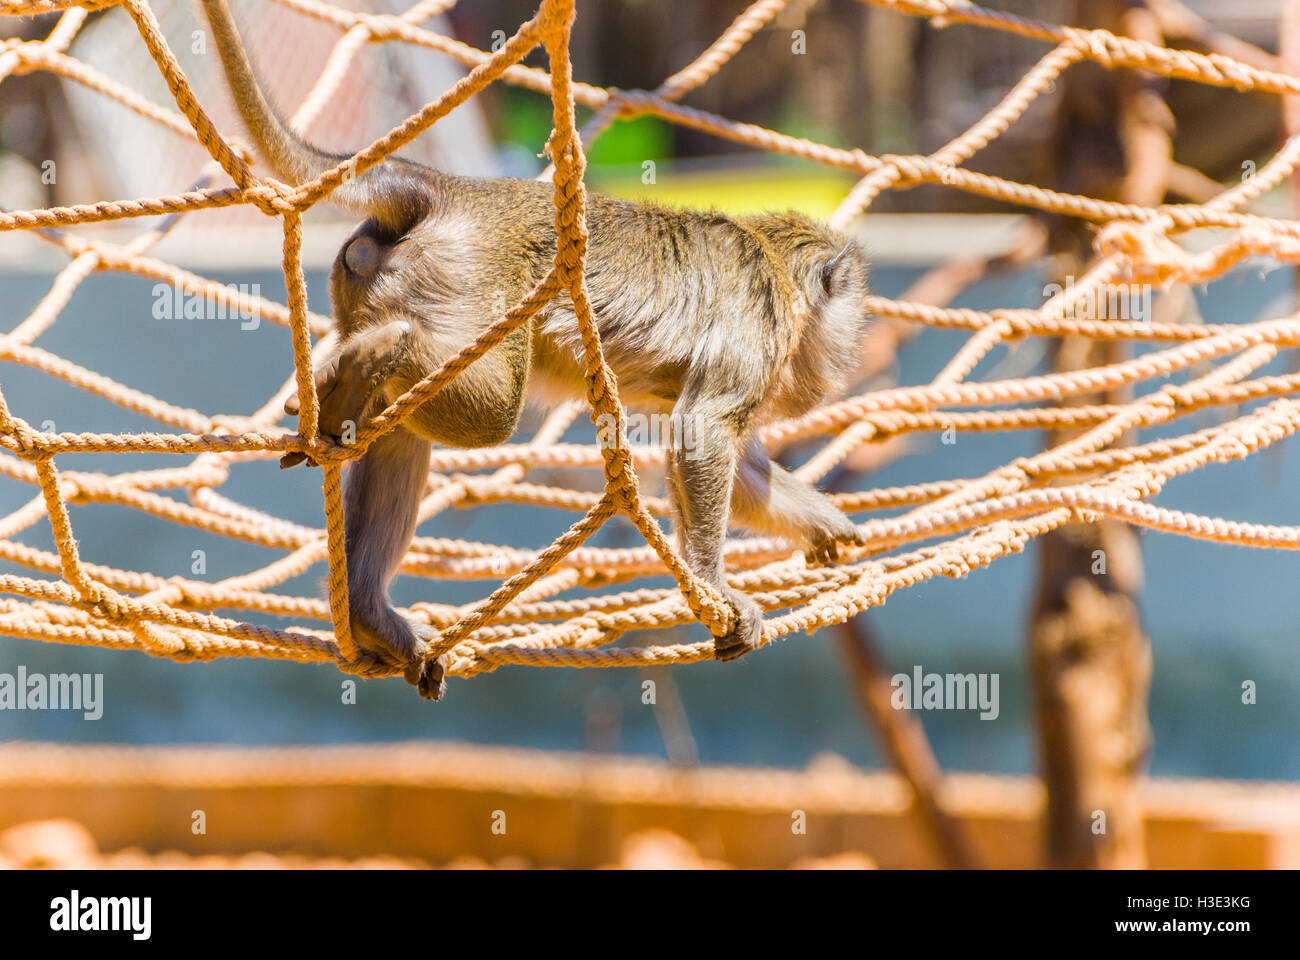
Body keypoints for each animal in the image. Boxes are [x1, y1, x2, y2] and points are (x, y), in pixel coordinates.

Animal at [199, 0, 871, 699]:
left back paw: (366, 610)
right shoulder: (755, 328)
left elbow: (737, 465)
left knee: (399, 426)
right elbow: (704, 431)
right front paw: (715, 587)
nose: (844, 364)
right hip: (470, 274)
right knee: (490, 413)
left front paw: (824, 523)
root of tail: (446, 191)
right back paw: (387, 349)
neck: (774, 269)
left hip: (375, 275)